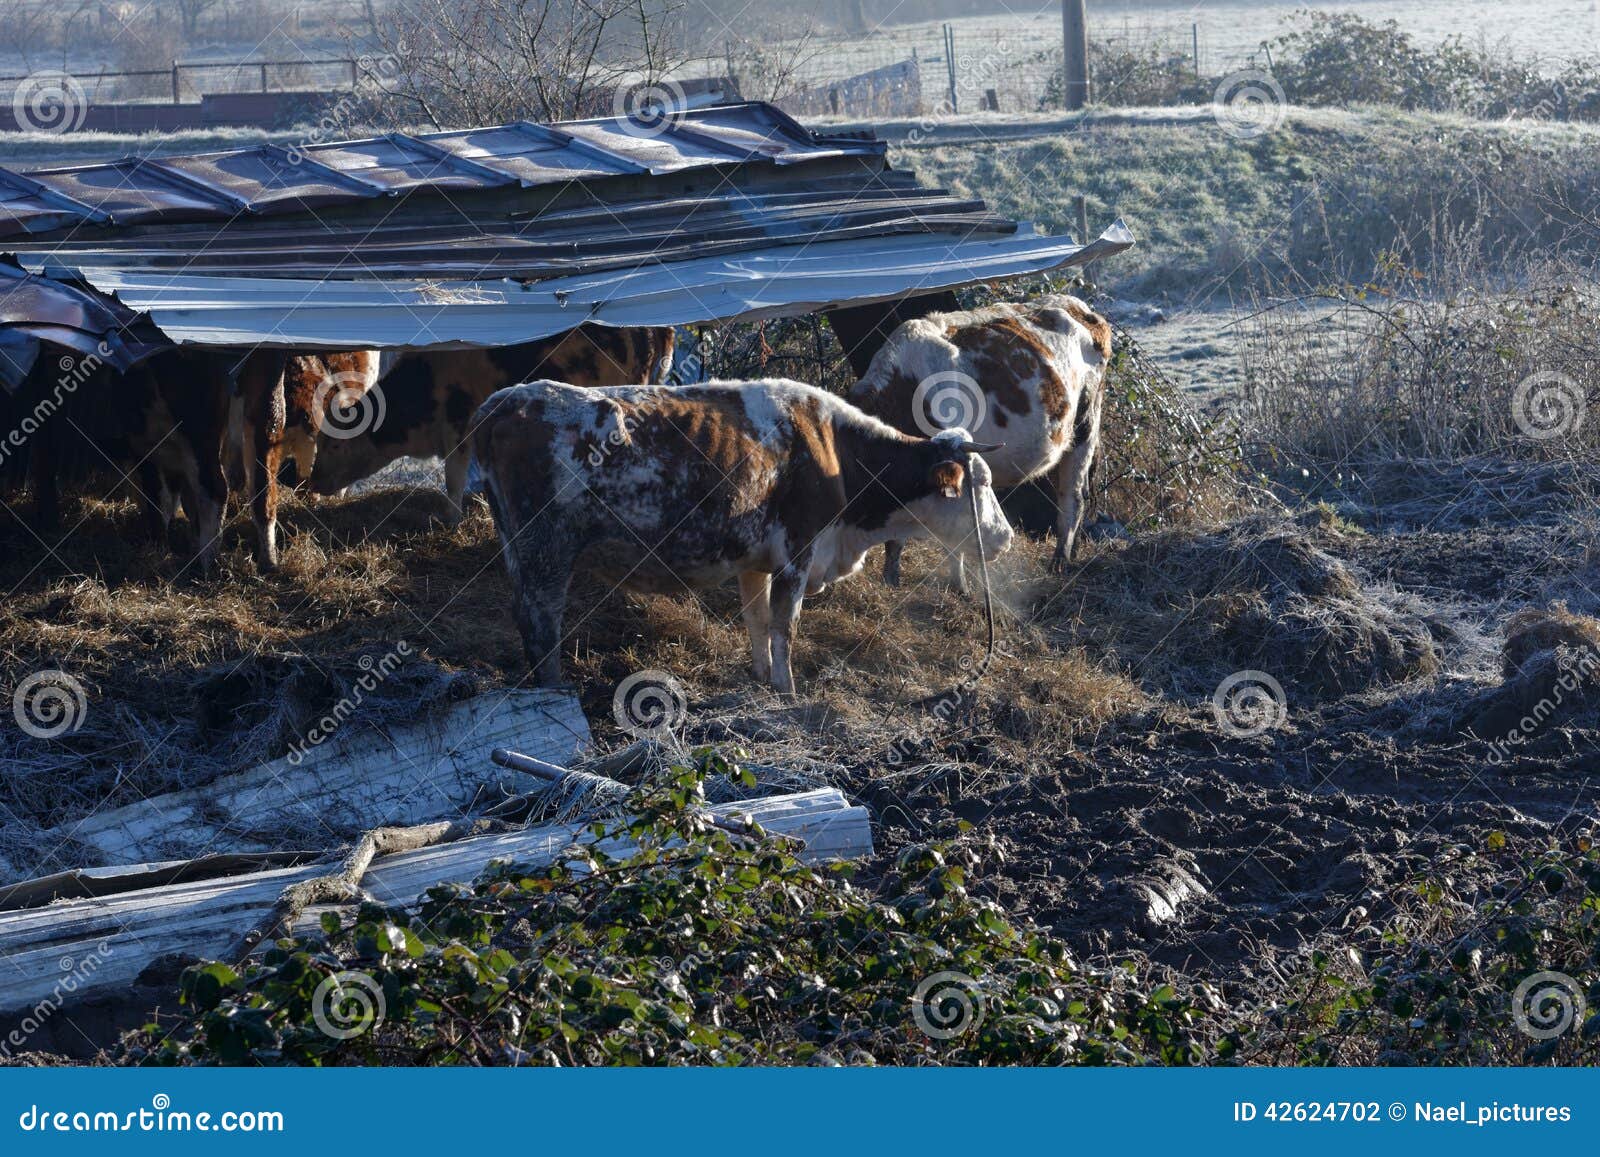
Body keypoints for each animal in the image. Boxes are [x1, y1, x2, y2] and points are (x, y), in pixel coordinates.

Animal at [236, 325, 675, 569]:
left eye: (333, 442)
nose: (305, 481)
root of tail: (657, 330)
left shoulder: (458, 431)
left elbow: (453, 479)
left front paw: (450, 521)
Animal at [473, 378, 1014, 695]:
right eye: (983, 483)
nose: (1005, 537)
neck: (835, 449)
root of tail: (507, 399)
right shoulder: (799, 551)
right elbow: (785, 627)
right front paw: (788, 690)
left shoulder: (755, 561)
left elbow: (757, 621)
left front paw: (761, 678)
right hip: (546, 552)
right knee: (542, 623)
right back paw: (554, 692)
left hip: (518, 549)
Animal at [847, 295, 1112, 585]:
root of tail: (1077, 305)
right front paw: (892, 579)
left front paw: (959, 584)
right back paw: (1072, 552)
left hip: (1085, 427)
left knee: (1072, 497)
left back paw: (1060, 560)